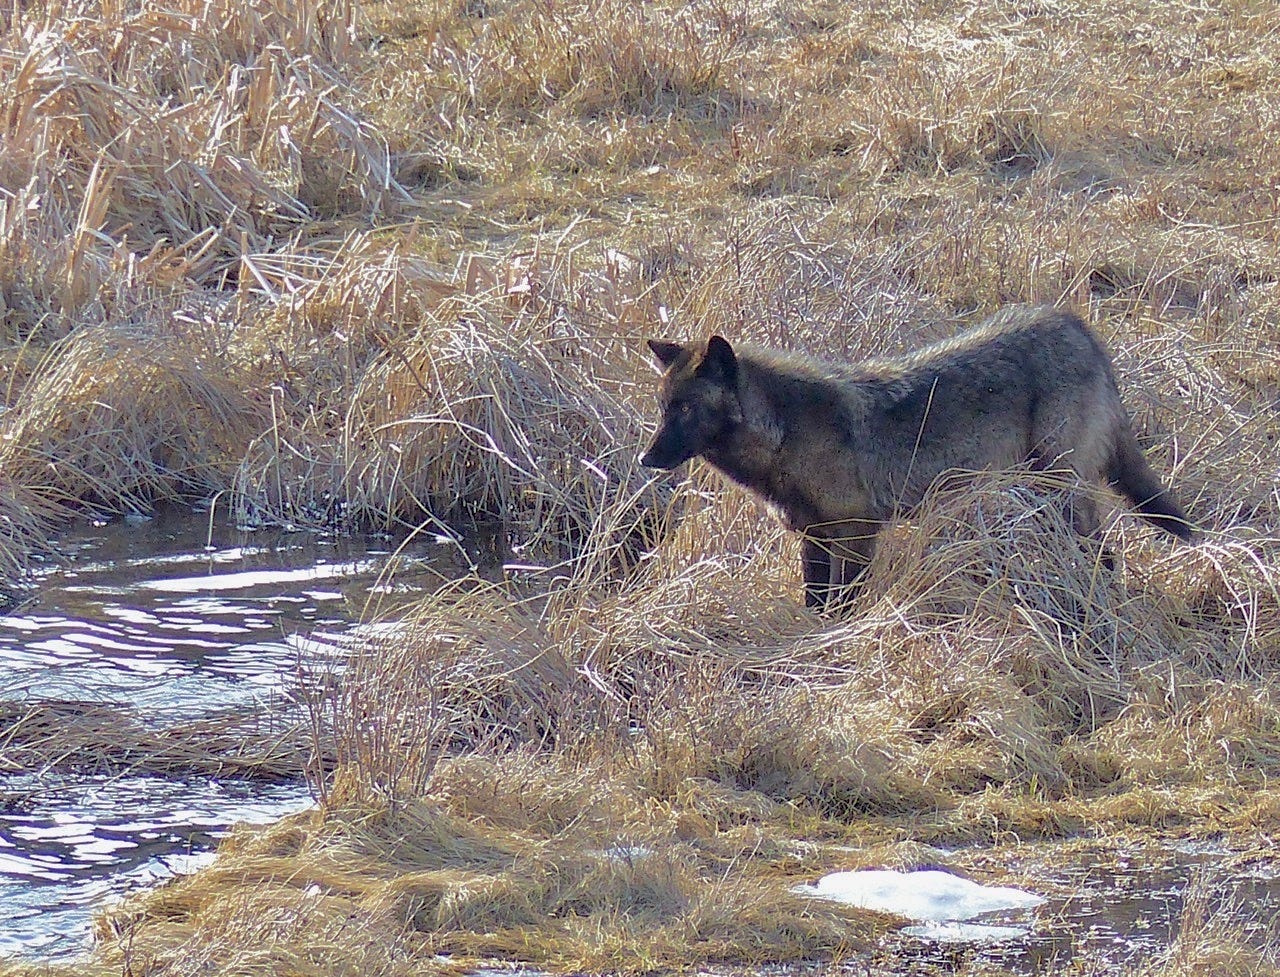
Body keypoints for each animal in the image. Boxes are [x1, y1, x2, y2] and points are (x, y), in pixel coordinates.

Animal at [639, 305, 1194, 609]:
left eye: (685, 411)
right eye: (663, 409)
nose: (646, 459)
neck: (786, 434)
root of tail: (1079, 328)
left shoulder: (857, 534)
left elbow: (842, 607)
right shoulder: (814, 538)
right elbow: (816, 607)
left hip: (1059, 494)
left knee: (1106, 557)